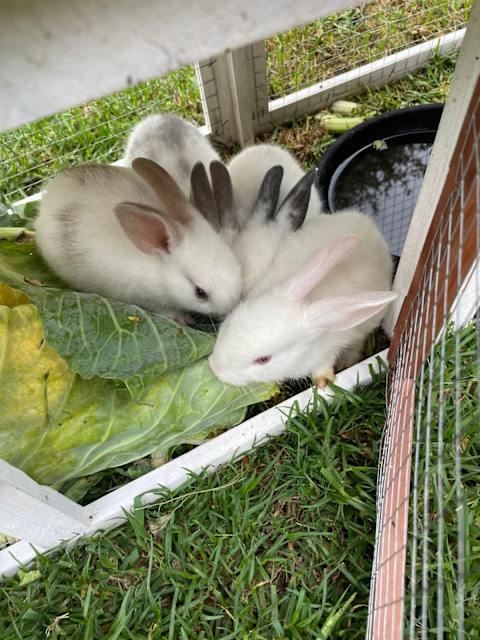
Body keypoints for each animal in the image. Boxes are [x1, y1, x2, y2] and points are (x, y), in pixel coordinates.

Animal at [209, 199, 397, 388]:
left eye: (263, 360)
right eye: (230, 321)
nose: (214, 367)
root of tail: (367, 222)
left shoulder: (326, 352)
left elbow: (322, 368)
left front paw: (322, 384)